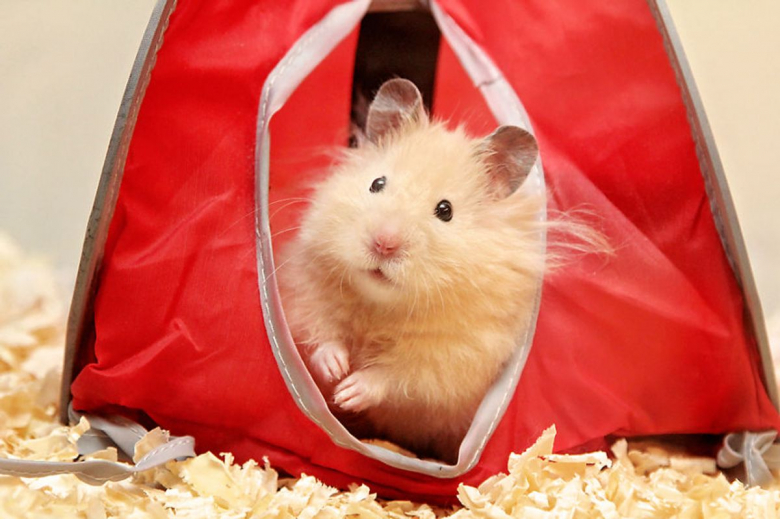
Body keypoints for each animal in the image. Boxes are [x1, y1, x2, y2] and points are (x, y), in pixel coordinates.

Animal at [277, 78, 546, 463]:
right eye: (376, 184)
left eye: (445, 211)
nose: (383, 243)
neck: (380, 305)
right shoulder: (307, 290)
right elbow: (322, 331)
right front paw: (336, 370)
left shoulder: (454, 357)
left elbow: (398, 376)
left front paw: (349, 391)